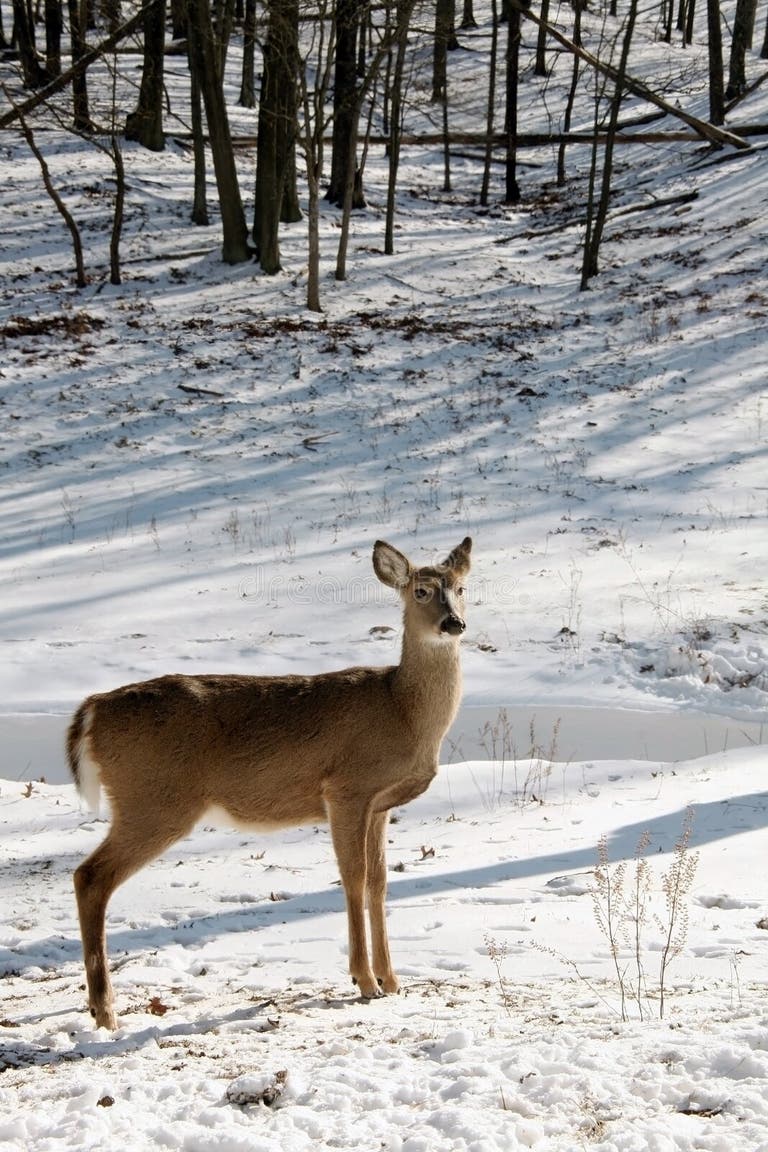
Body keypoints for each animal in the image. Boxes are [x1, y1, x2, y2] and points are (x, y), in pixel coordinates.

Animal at [67, 537, 472, 1030]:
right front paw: (364, 981)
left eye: (462, 587)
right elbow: (353, 877)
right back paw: (105, 1011)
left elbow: (379, 881)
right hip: (153, 800)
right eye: (420, 591)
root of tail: (92, 710)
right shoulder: (345, 788)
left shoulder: (380, 805)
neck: (402, 711)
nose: (453, 623)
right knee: (90, 876)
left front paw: (392, 980)